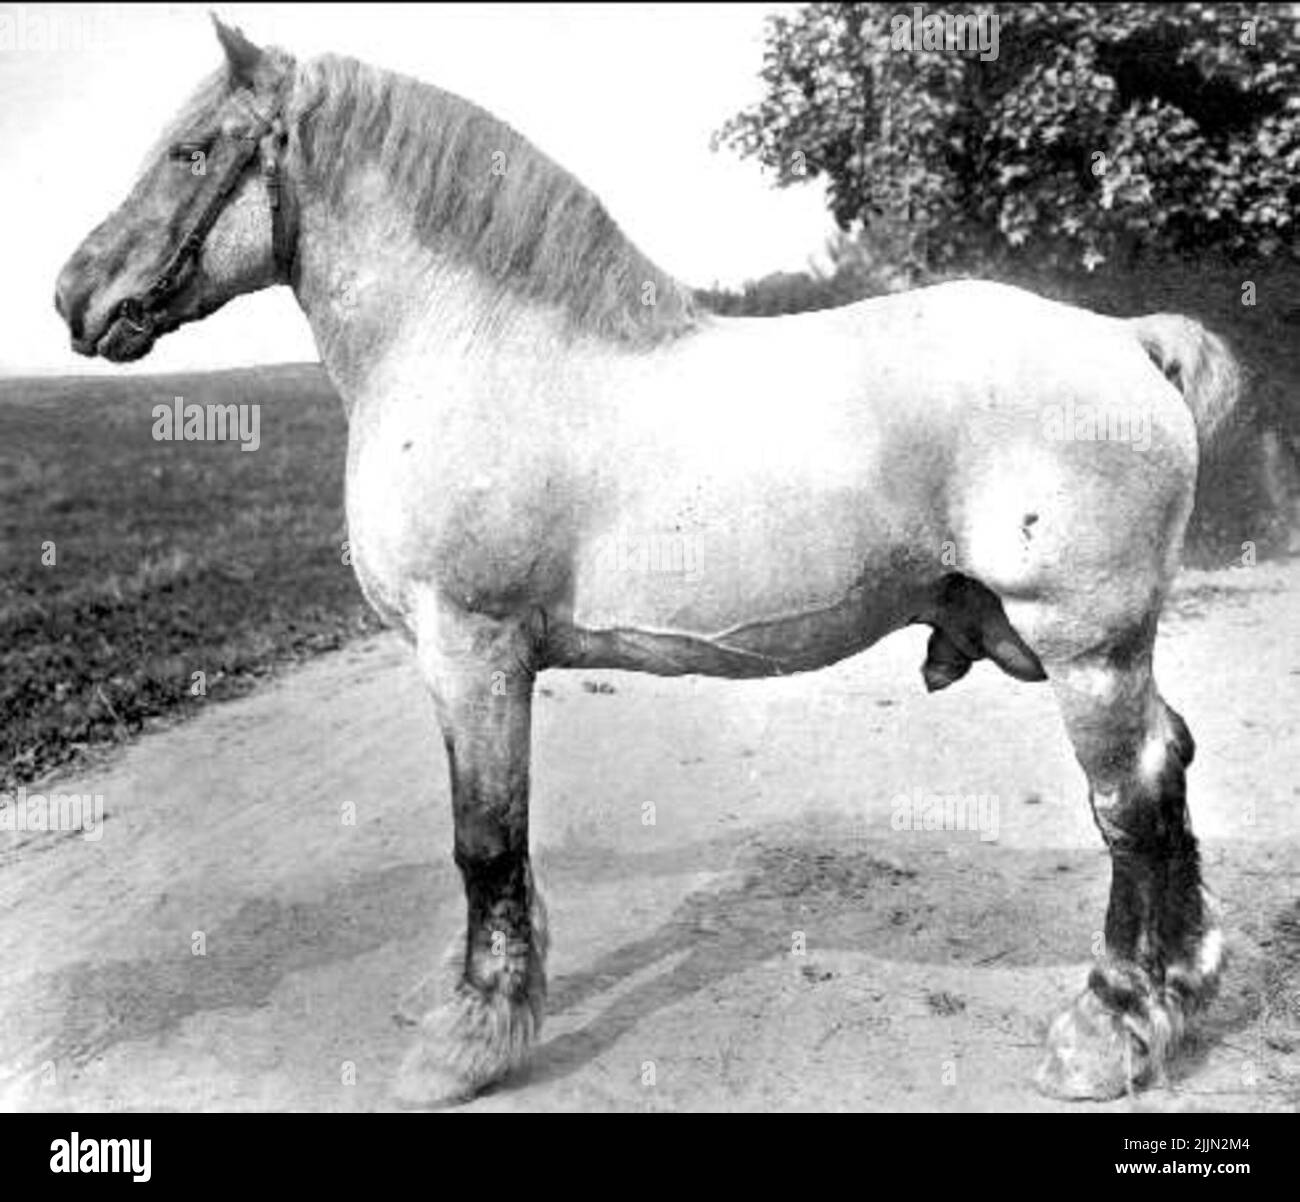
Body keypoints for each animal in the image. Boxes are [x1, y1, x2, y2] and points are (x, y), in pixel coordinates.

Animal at [54, 17, 1240, 1107]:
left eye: (192, 151)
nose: (74, 294)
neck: (475, 348)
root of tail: (1127, 339)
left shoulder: (472, 649)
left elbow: (486, 839)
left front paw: (468, 1042)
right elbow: (502, 848)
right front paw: (487, 994)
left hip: (1085, 649)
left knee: (1130, 805)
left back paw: (1106, 1030)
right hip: (1104, 651)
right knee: (1173, 760)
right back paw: (1184, 983)